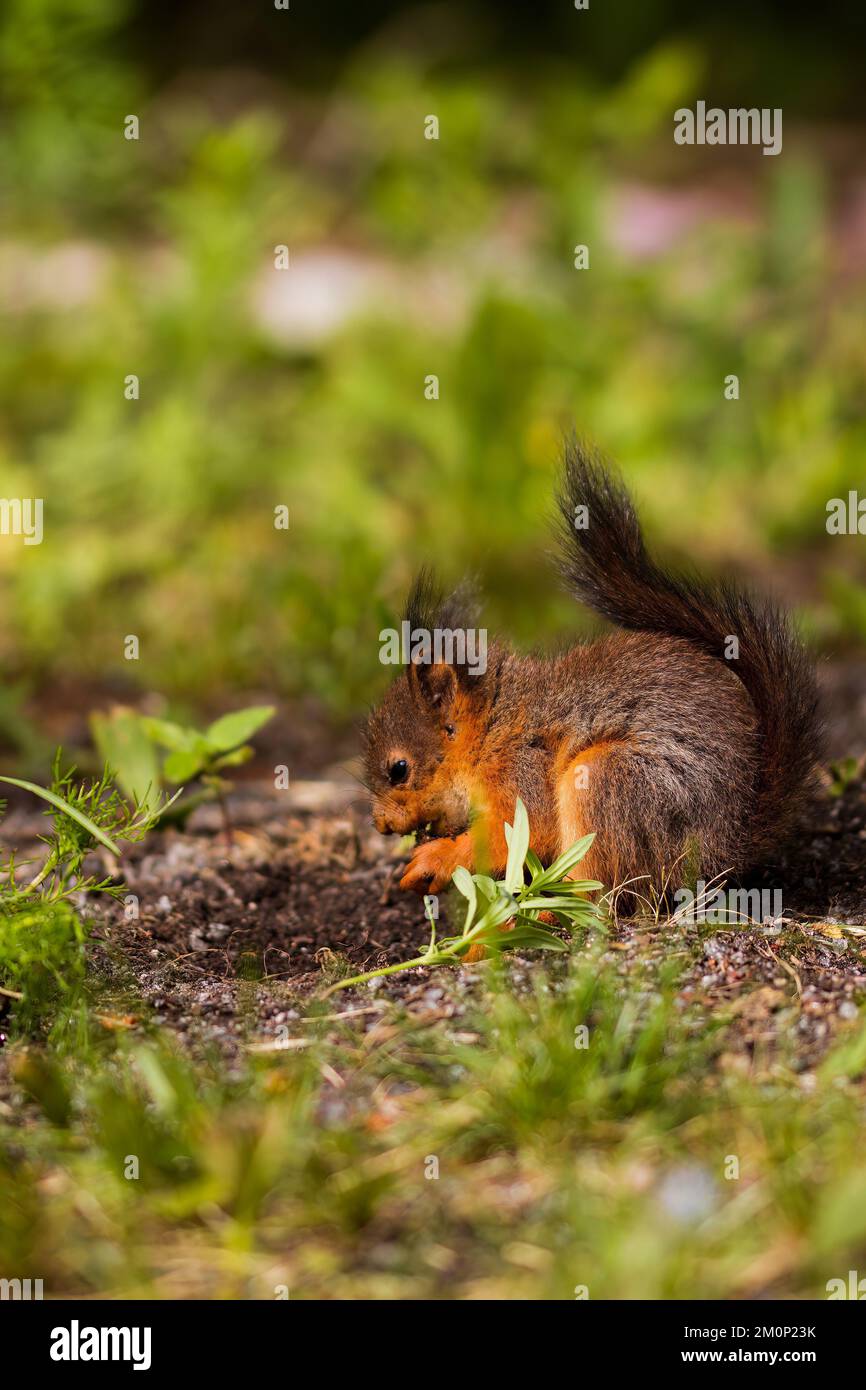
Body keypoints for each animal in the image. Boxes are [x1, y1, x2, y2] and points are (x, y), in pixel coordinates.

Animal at [362, 442, 821, 902]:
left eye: (398, 769)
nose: (381, 826)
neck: (494, 730)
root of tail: (733, 841)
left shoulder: (524, 775)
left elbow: (519, 834)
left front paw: (435, 859)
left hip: (608, 783)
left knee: (600, 894)